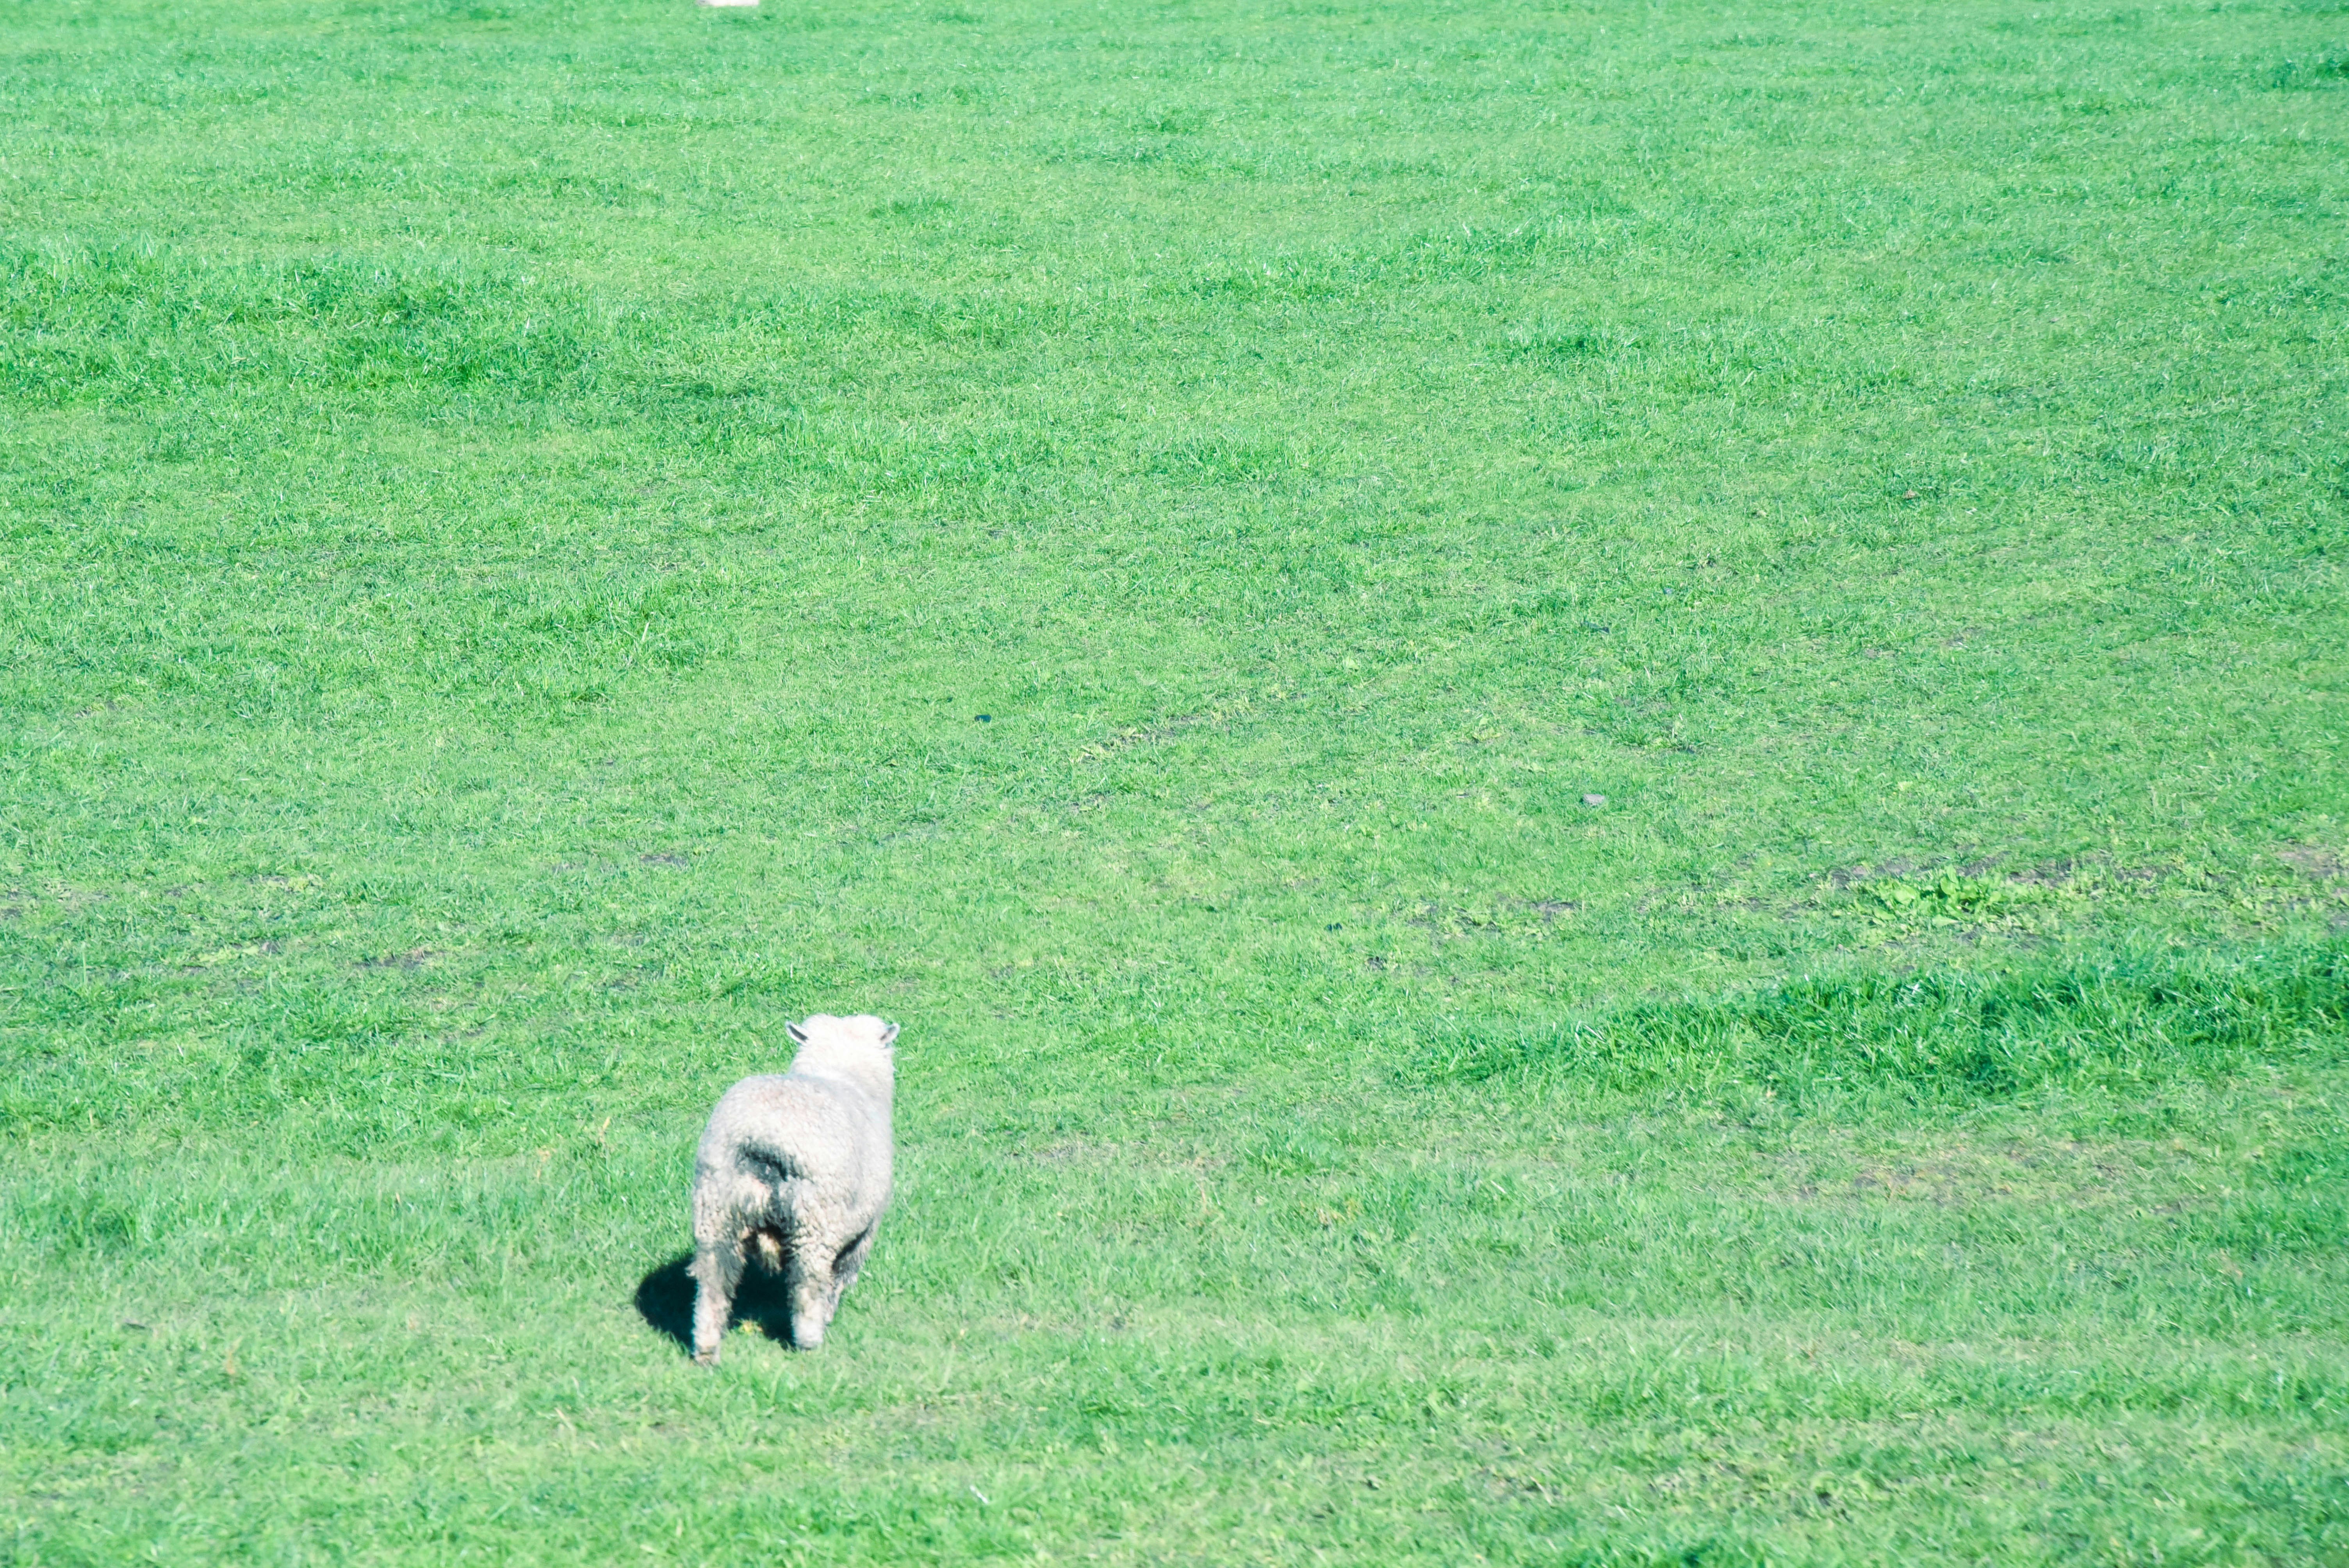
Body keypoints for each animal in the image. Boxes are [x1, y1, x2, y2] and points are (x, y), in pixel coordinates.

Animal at [689, 1014, 897, 1364]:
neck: (842, 1073)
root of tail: (762, 1143)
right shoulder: (866, 1230)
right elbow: (841, 1276)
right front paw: (829, 1314)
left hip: (715, 1211)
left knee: (713, 1281)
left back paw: (706, 1350)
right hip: (815, 1222)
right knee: (808, 1284)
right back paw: (810, 1340)